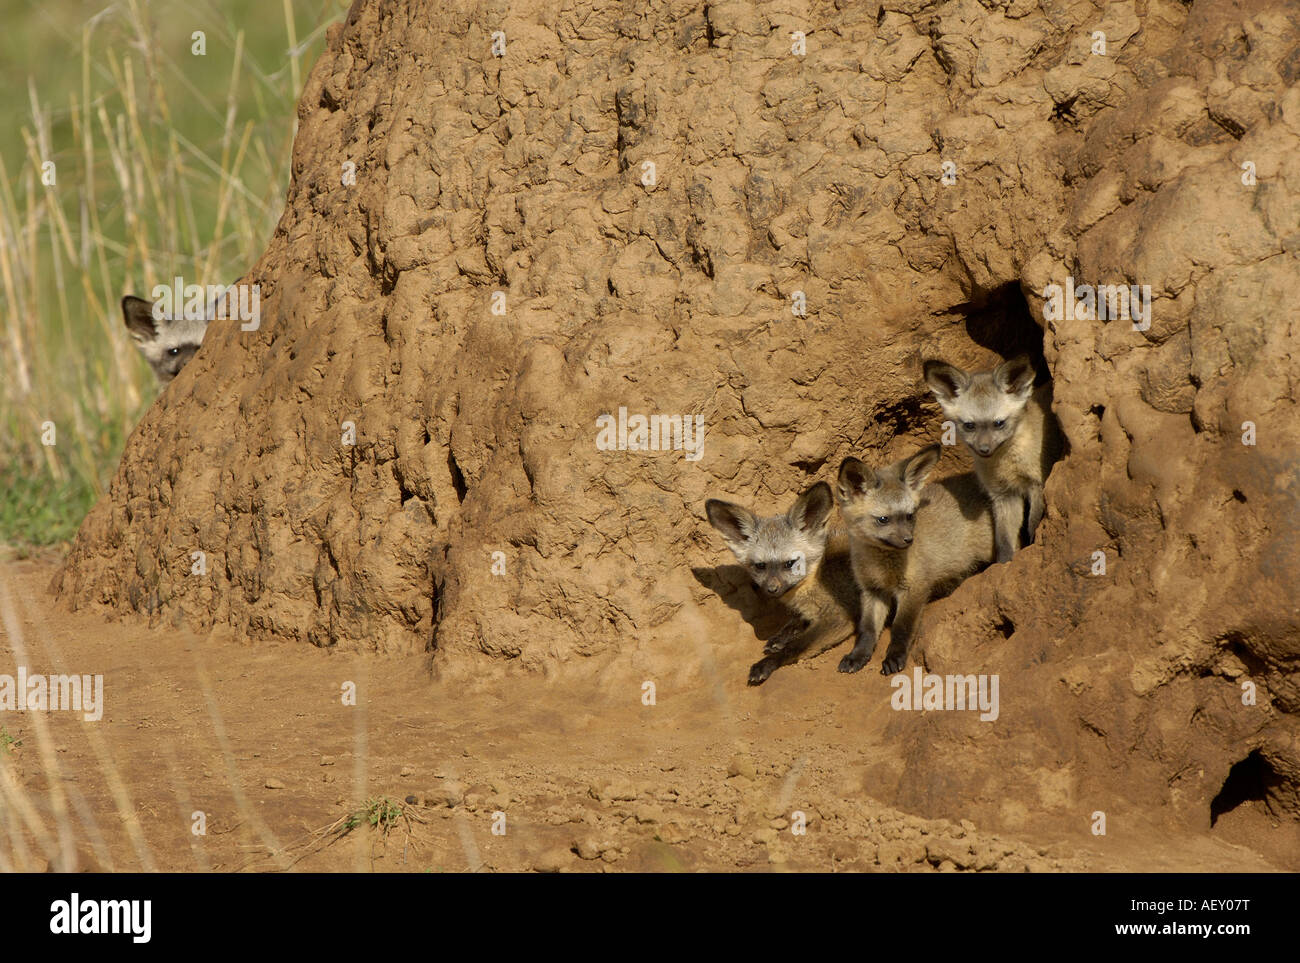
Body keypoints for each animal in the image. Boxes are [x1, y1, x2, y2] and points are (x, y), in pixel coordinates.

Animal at [705, 482, 861, 685]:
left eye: (790, 563)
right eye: (760, 566)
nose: (771, 589)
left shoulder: (839, 619)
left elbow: (795, 647)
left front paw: (766, 663)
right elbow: (794, 624)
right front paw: (780, 638)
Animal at [834, 443, 995, 674]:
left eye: (910, 516)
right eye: (883, 519)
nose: (909, 540)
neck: (882, 568)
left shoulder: (914, 587)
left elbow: (902, 628)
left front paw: (894, 657)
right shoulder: (872, 590)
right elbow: (867, 630)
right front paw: (857, 656)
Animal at [922, 355, 1064, 563]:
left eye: (998, 423)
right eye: (969, 425)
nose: (984, 449)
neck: (1007, 465)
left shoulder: (1037, 483)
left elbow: (1034, 523)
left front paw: (1032, 545)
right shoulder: (1003, 495)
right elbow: (1003, 539)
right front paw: (1004, 563)